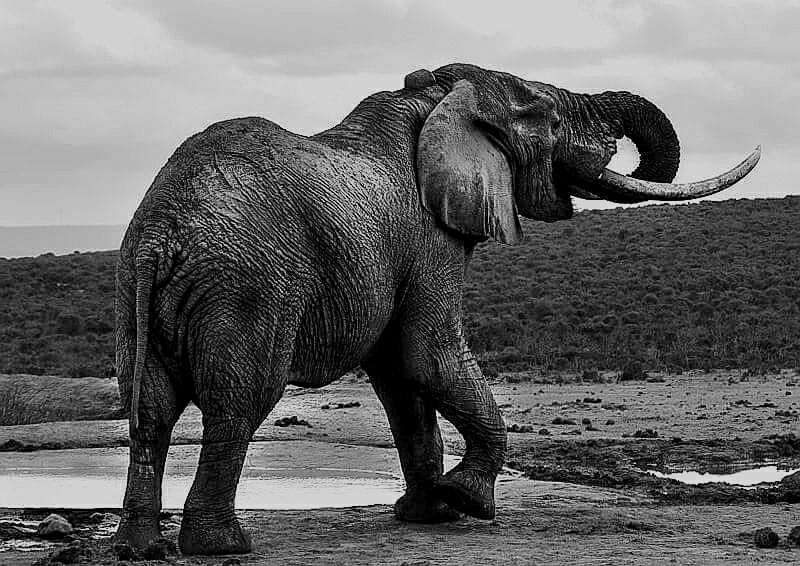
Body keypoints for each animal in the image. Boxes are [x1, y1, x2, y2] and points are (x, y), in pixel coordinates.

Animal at [113, 63, 759, 555]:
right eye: (551, 117)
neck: (436, 96)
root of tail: (160, 232)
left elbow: (401, 380)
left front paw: (431, 514)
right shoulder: (430, 240)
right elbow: (427, 357)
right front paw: (467, 500)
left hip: (135, 290)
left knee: (150, 409)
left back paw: (139, 548)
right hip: (245, 289)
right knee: (237, 404)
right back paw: (223, 546)